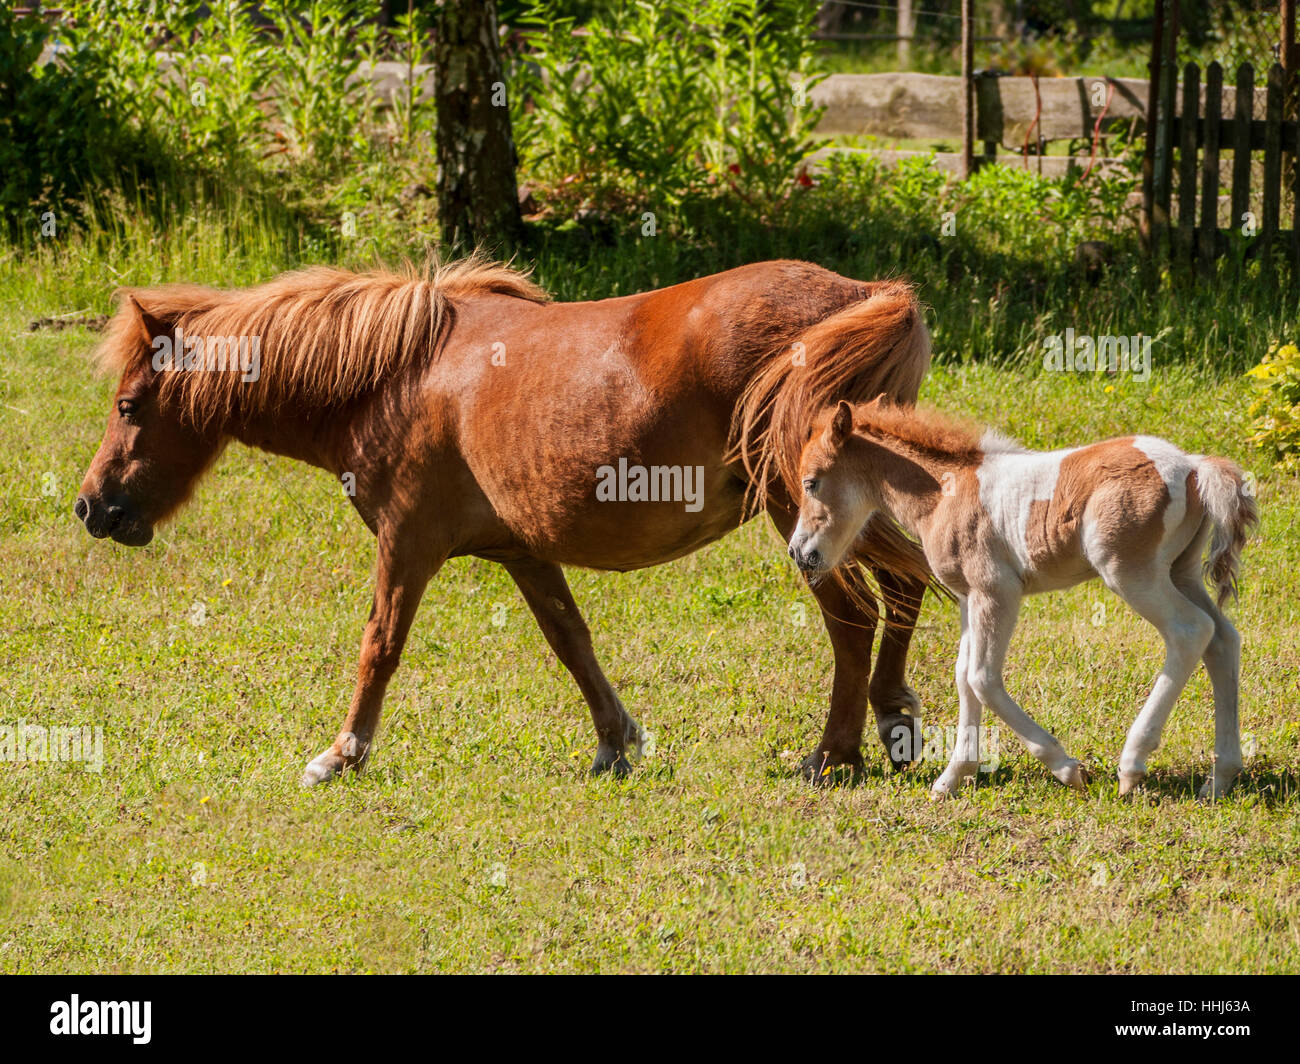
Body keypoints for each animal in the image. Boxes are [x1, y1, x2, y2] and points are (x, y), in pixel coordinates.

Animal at [76, 257, 935, 785]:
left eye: (128, 406)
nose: (91, 506)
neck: (395, 373)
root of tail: (867, 294)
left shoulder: (407, 544)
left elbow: (379, 647)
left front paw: (341, 755)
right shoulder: (522, 553)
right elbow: (572, 643)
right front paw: (615, 744)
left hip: (804, 513)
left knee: (856, 616)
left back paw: (835, 754)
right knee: (905, 591)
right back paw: (892, 721)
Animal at [788, 398, 1259, 800]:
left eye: (811, 482)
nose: (799, 552)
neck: (944, 494)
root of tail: (1194, 467)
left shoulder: (996, 590)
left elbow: (982, 677)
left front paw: (1067, 768)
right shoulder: (969, 598)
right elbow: (963, 677)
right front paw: (952, 778)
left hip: (1130, 573)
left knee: (1190, 630)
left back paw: (1132, 766)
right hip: (1180, 572)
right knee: (1222, 638)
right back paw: (1220, 778)